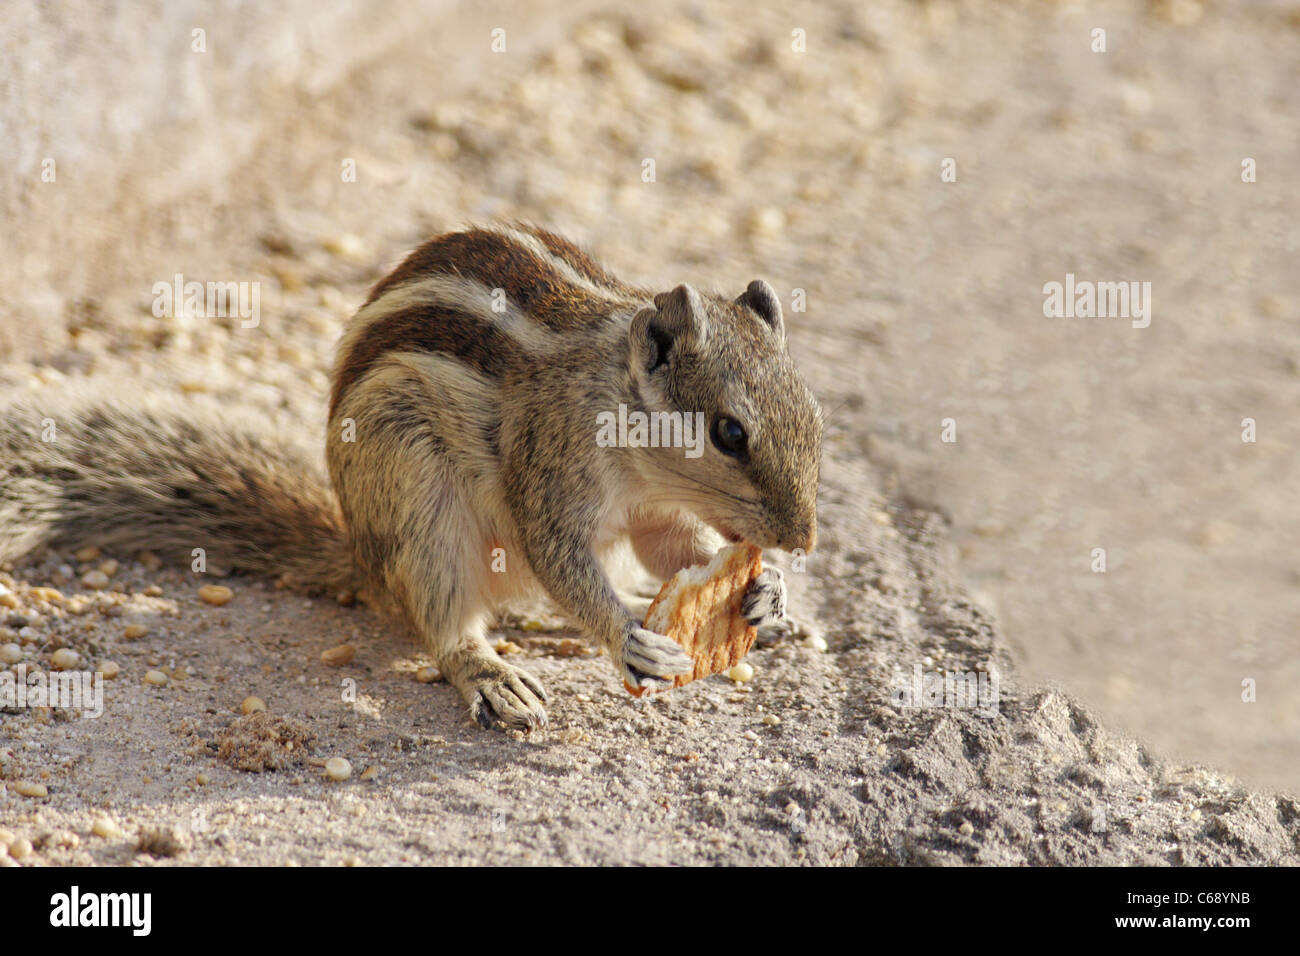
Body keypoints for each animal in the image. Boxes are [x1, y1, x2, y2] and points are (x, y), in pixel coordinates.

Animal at [0, 223, 823, 731]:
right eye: (729, 433)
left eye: (814, 413)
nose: (805, 540)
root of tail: (364, 558)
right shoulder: (548, 472)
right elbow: (559, 561)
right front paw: (630, 640)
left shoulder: (651, 512)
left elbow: (669, 549)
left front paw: (765, 590)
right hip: (417, 494)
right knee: (448, 623)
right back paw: (493, 674)